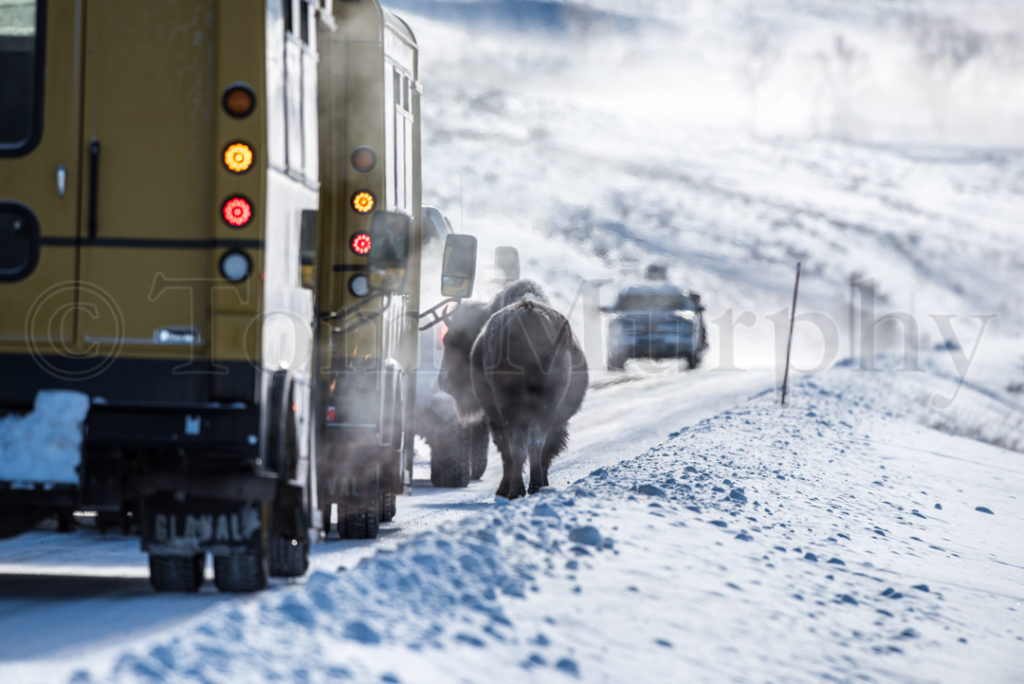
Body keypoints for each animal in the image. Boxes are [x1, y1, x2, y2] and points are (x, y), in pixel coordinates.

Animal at [439, 280, 588, 499]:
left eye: (451, 342)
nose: (444, 382)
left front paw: (503, 489)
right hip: (545, 409)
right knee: (535, 444)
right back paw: (535, 486)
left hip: (509, 411)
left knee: (517, 448)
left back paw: (514, 490)